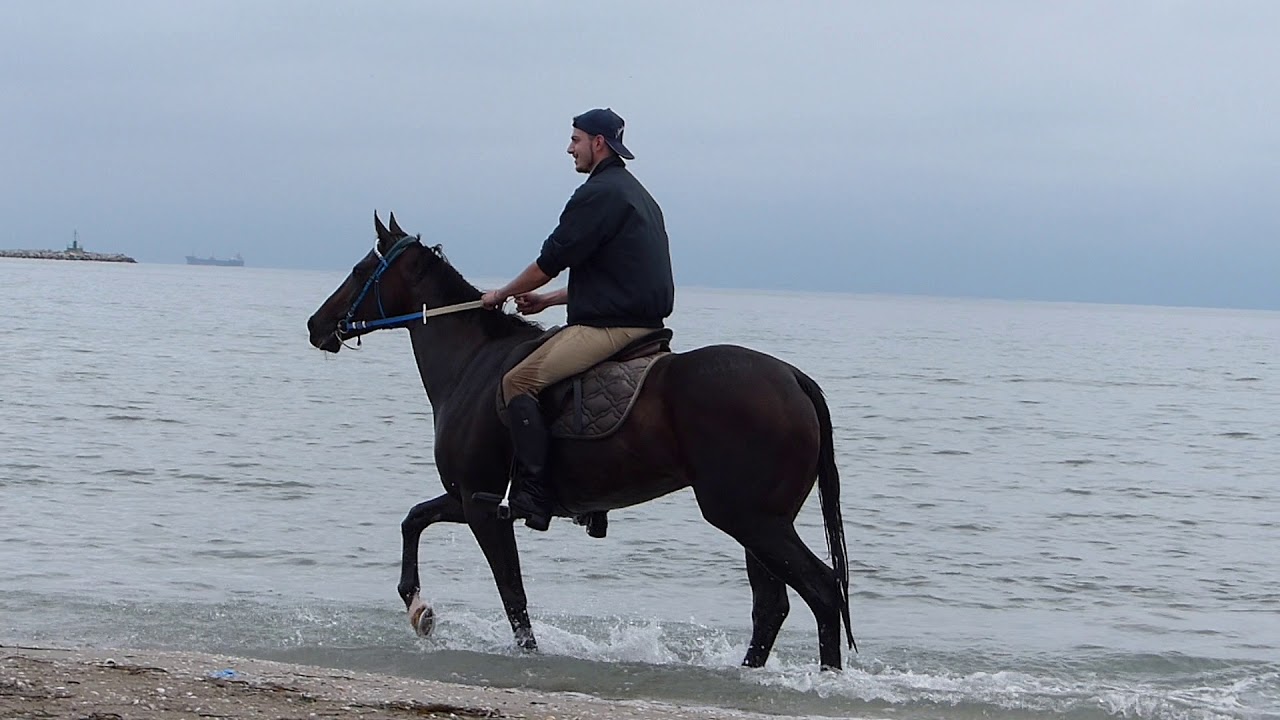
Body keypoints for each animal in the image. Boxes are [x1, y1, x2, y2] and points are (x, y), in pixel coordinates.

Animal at [306, 211, 856, 669]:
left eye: (360, 269)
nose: (316, 325)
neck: (472, 363)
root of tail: (792, 377)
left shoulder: (483, 506)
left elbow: (512, 594)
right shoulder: (468, 498)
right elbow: (414, 520)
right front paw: (419, 607)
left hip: (751, 520)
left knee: (822, 590)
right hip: (757, 523)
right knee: (773, 606)